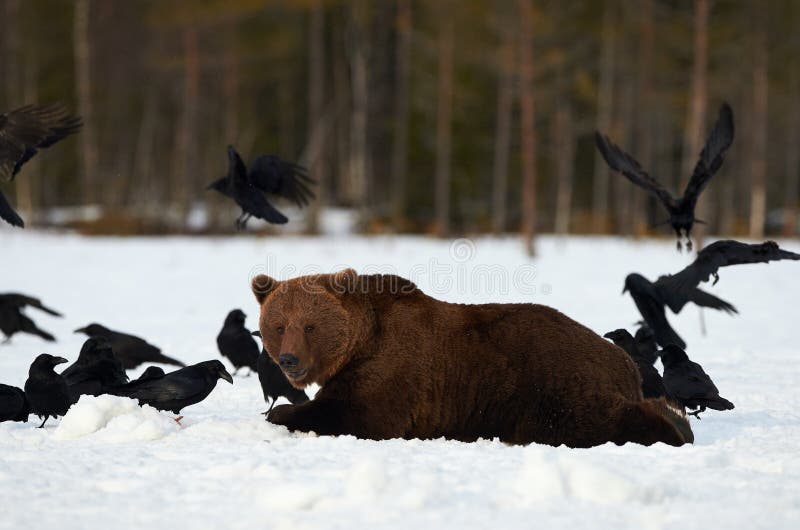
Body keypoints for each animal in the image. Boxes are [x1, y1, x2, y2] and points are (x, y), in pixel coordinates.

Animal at [252, 269, 693, 448]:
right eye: (279, 325)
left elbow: (358, 412)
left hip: (550, 384)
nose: (289, 359)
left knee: (590, 420)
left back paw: (674, 424)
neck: (361, 342)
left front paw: (283, 412)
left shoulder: (392, 369)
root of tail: (625, 363)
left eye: (310, 326)